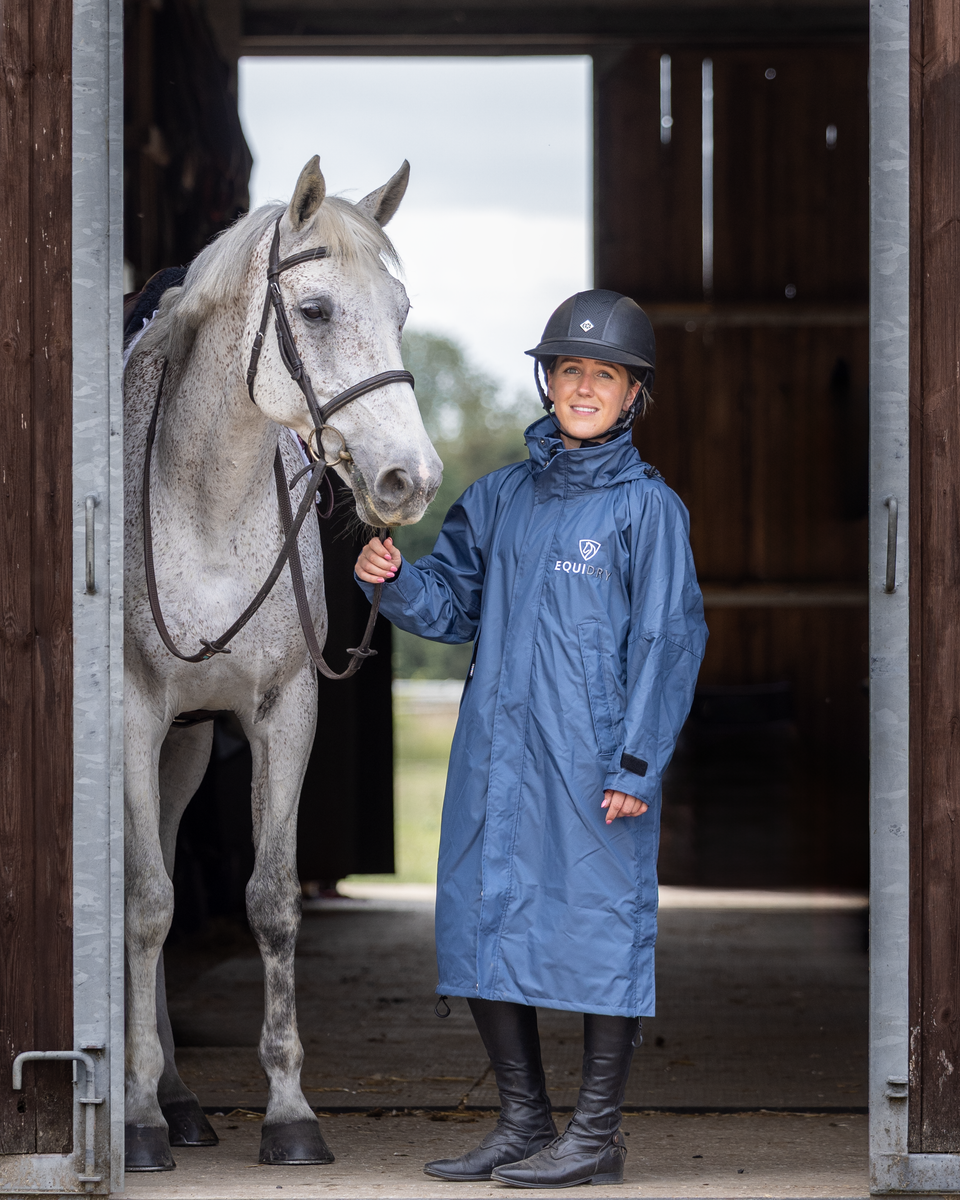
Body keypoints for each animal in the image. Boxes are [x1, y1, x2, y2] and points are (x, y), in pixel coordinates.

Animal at [121, 156, 442, 1171]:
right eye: (315, 310)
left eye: (401, 309)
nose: (410, 479)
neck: (206, 502)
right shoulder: (128, 713)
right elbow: (144, 904)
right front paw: (132, 1126)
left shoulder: (284, 710)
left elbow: (269, 902)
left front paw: (291, 1115)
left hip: (187, 748)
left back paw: (180, 1100)